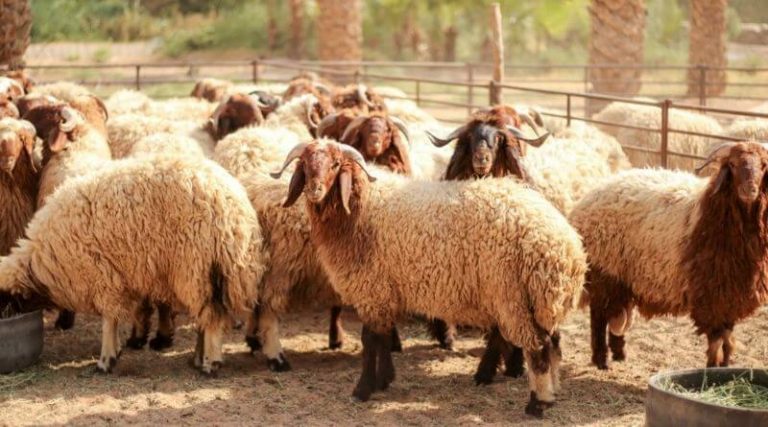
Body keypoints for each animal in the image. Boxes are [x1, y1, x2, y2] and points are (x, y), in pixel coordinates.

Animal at [0, 156, 265, 374]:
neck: (41, 262)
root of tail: (236, 212)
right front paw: (116, 351)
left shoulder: (102, 275)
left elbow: (109, 320)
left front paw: (106, 360)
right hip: (203, 273)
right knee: (205, 315)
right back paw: (198, 358)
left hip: (196, 266)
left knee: (210, 317)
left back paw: (210, 363)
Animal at [271, 140, 586, 417]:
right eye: (304, 164)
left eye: (336, 164)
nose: (314, 190)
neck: (360, 207)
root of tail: (565, 247)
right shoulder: (385, 289)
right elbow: (384, 337)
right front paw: (385, 379)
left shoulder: (371, 288)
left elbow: (370, 340)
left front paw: (363, 389)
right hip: (536, 300)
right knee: (552, 342)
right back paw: (548, 393)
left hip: (512, 295)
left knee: (538, 348)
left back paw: (537, 403)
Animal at [569, 141, 768, 370]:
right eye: (733, 165)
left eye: (764, 165)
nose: (749, 189)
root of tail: (585, 201)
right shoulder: (711, 294)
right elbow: (717, 338)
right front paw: (711, 368)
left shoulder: (730, 295)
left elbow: (728, 337)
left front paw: (725, 367)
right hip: (605, 271)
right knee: (599, 316)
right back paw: (602, 360)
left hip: (622, 277)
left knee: (616, 314)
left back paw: (620, 353)